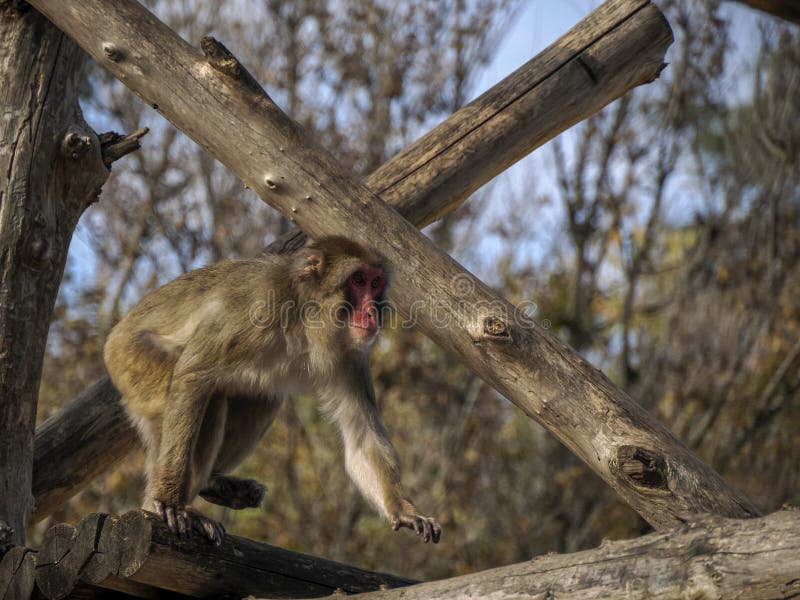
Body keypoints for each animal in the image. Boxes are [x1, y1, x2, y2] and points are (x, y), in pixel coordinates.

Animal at [103, 236, 441, 546]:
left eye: (375, 283)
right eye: (357, 281)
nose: (372, 313)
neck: (305, 315)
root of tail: (113, 338)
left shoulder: (350, 355)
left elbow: (361, 435)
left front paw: (403, 509)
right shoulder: (260, 308)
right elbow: (193, 375)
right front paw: (169, 502)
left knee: (263, 398)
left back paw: (212, 484)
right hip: (136, 364)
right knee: (208, 400)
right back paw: (162, 504)